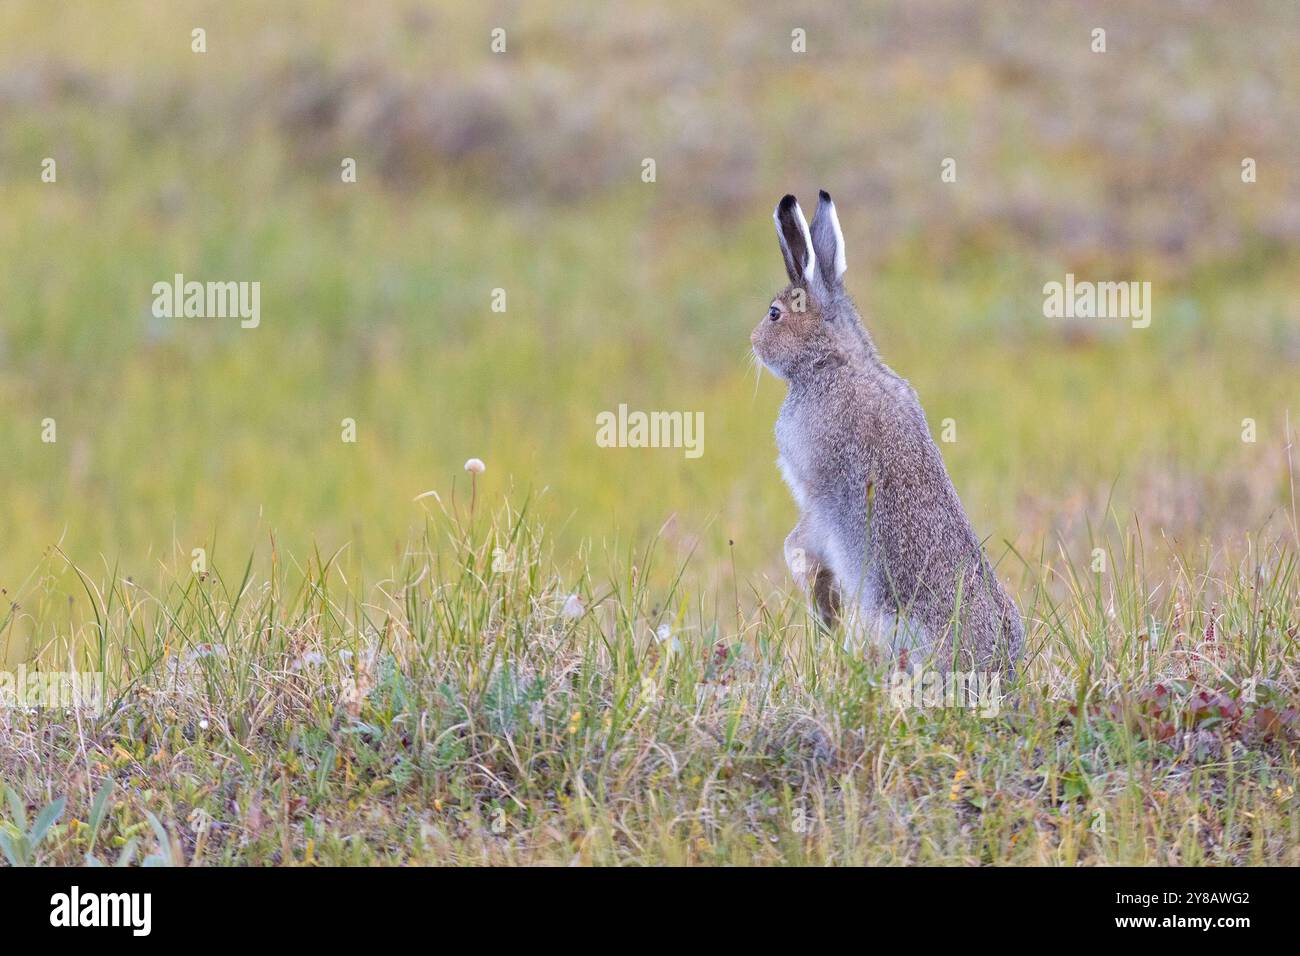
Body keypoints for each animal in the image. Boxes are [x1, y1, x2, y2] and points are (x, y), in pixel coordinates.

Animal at [750, 191, 1023, 673]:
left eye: (774, 313)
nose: (753, 342)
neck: (831, 362)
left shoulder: (817, 493)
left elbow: (798, 546)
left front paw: (825, 615)